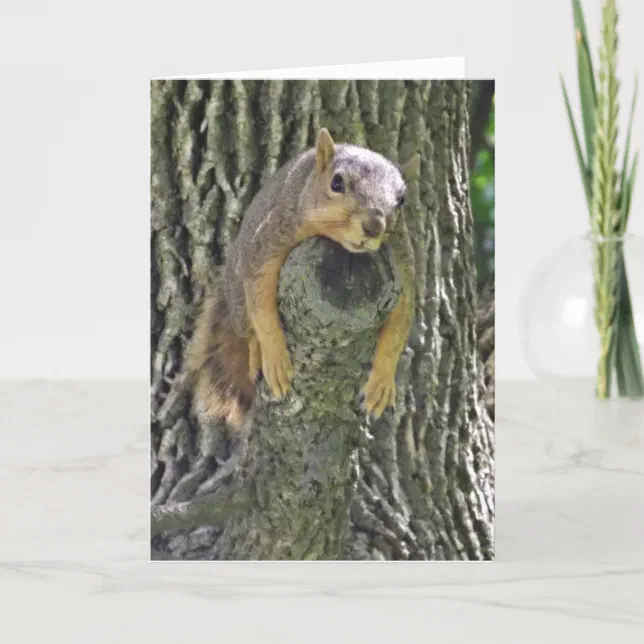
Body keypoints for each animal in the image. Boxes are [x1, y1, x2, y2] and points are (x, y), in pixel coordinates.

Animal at [187, 128, 419, 430]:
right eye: (337, 183)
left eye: (401, 200)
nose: (374, 226)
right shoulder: (272, 239)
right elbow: (261, 302)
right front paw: (274, 356)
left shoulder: (402, 264)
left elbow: (400, 325)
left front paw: (382, 381)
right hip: (238, 298)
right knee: (247, 327)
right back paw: (256, 351)